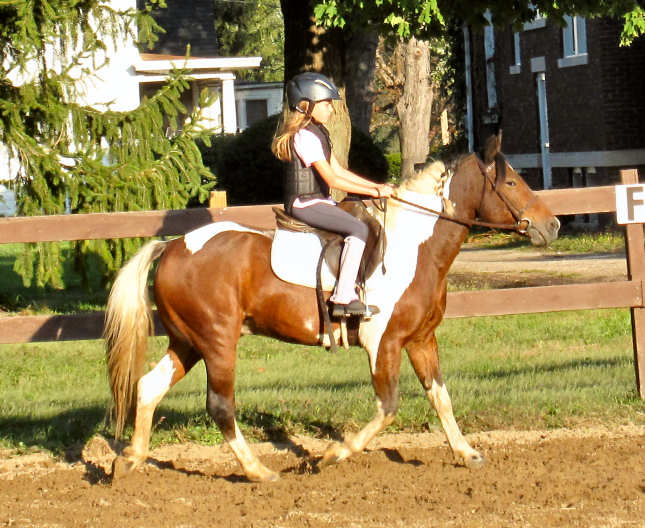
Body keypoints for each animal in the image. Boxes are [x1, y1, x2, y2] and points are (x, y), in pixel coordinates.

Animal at [106, 135, 560, 482]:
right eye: (512, 182)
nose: (552, 225)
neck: (415, 248)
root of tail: (173, 247)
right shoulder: (384, 344)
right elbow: (388, 408)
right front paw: (332, 455)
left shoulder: (421, 339)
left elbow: (440, 397)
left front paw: (466, 453)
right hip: (217, 342)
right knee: (220, 405)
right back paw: (259, 472)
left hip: (188, 342)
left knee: (148, 388)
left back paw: (129, 460)